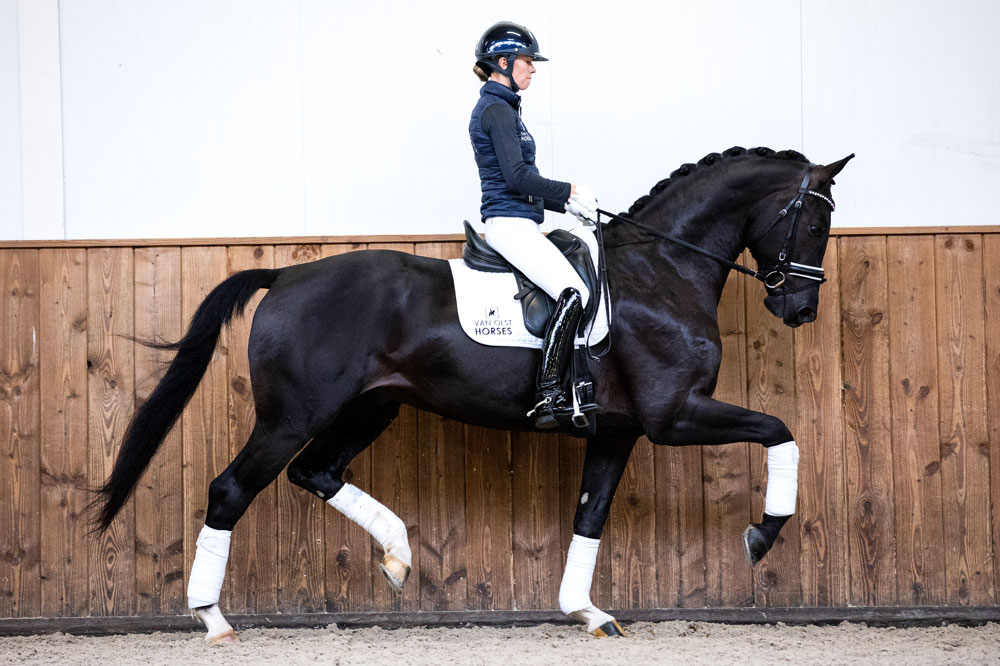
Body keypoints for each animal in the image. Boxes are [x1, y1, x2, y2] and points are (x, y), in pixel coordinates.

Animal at [92, 146, 853, 642]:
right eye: (816, 222)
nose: (799, 310)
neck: (661, 270)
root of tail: (284, 277)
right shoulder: (674, 416)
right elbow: (781, 429)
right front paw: (763, 535)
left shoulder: (617, 429)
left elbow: (590, 515)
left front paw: (586, 611)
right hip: (292, 416)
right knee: (231, 490)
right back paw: (214, 620)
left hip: (370, 408)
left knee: (317, 473)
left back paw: (398, 556)